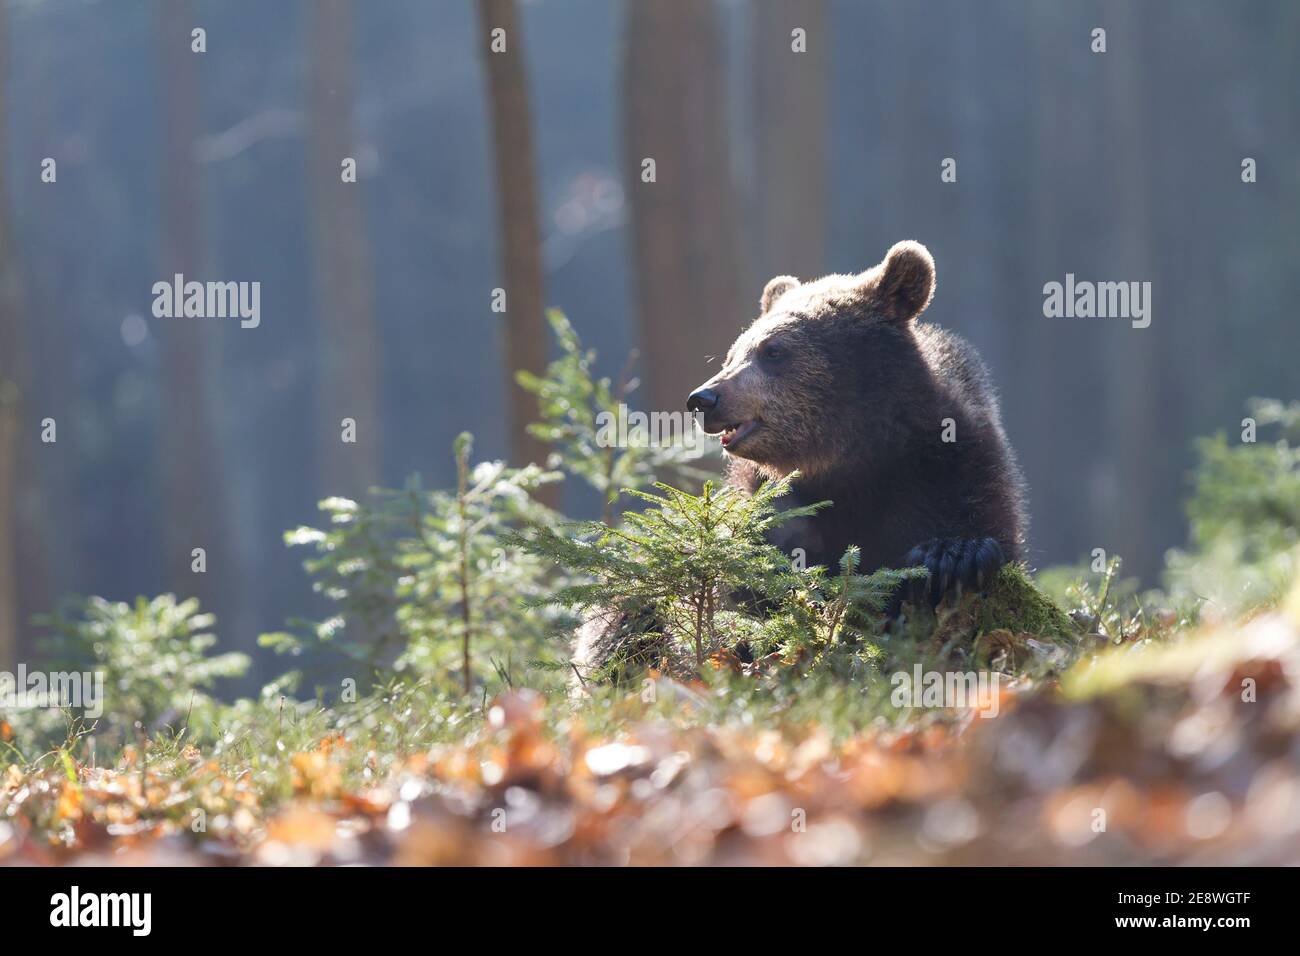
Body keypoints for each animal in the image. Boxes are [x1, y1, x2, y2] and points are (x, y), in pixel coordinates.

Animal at [572, 240, 1026, 681]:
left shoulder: (949, 462)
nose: (703, 398)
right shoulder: (764, 504)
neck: (849, 463)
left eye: (773, 350)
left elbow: (979, 520)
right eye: (733, 353)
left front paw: (953, 556)